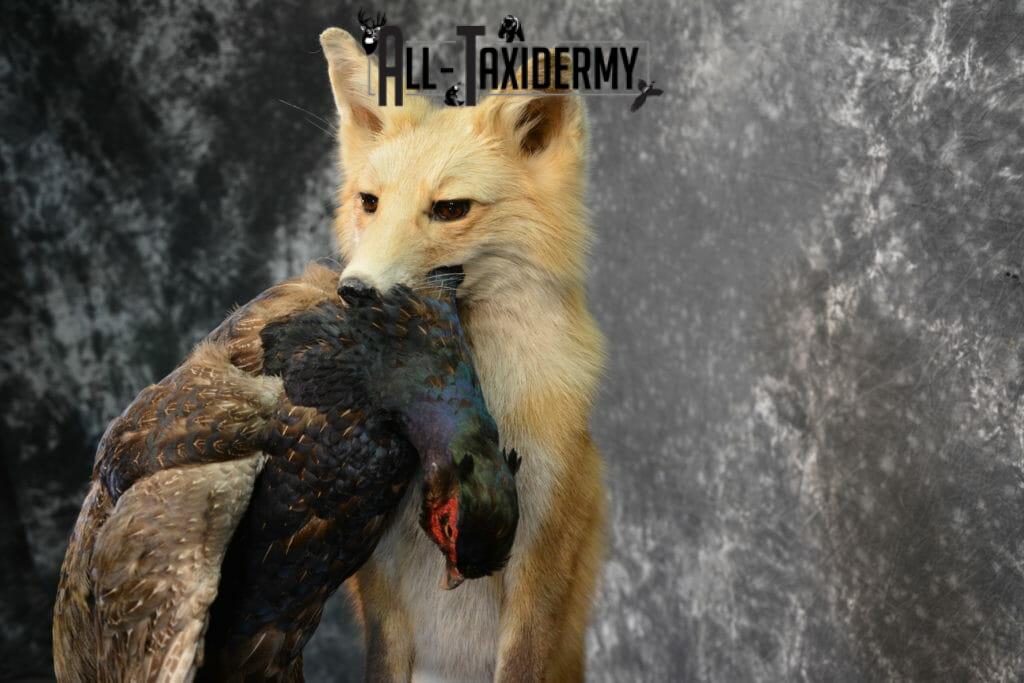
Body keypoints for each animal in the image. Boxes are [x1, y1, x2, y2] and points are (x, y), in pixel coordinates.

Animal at [317, 28, 607, 683]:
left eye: (450, 209)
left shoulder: (538, 561)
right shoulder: (382, 572)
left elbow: (521, 662)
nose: (355, 291)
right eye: (370, 203)